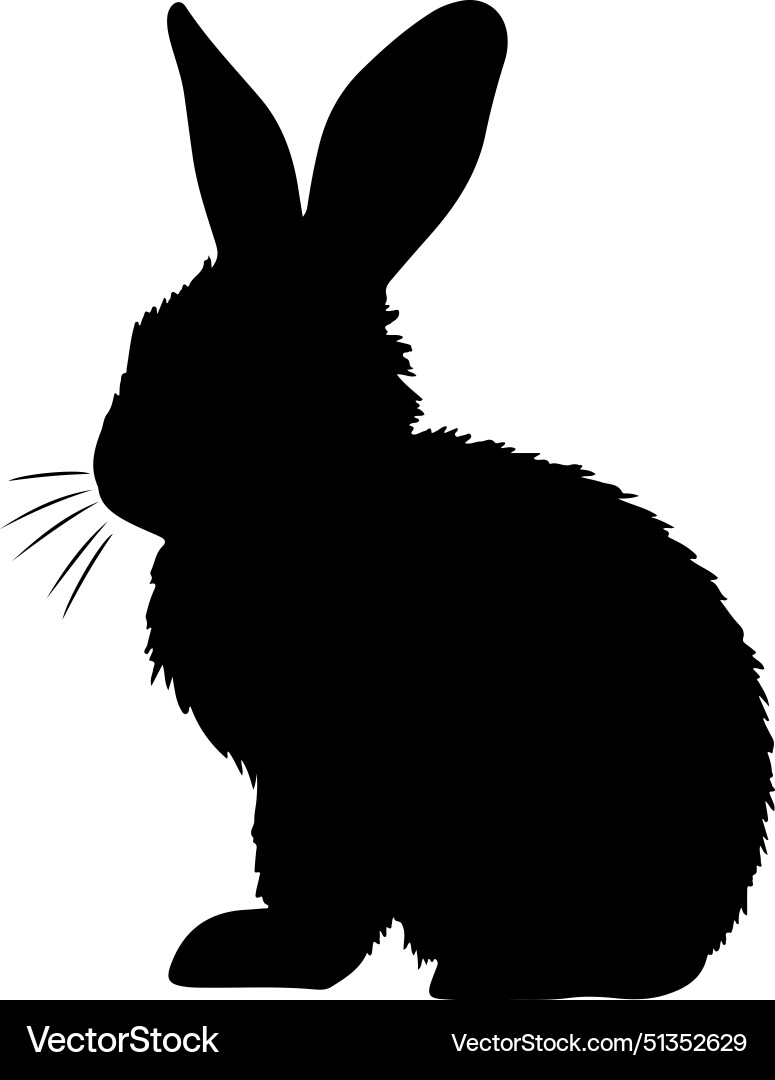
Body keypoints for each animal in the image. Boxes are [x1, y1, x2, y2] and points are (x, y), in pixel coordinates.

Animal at [83, 1, 771, 998]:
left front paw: (252, 956)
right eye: (141, 343)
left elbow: (324, 890)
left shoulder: (331, 767)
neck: (305, 515)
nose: (114, 478)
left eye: (247, 371)